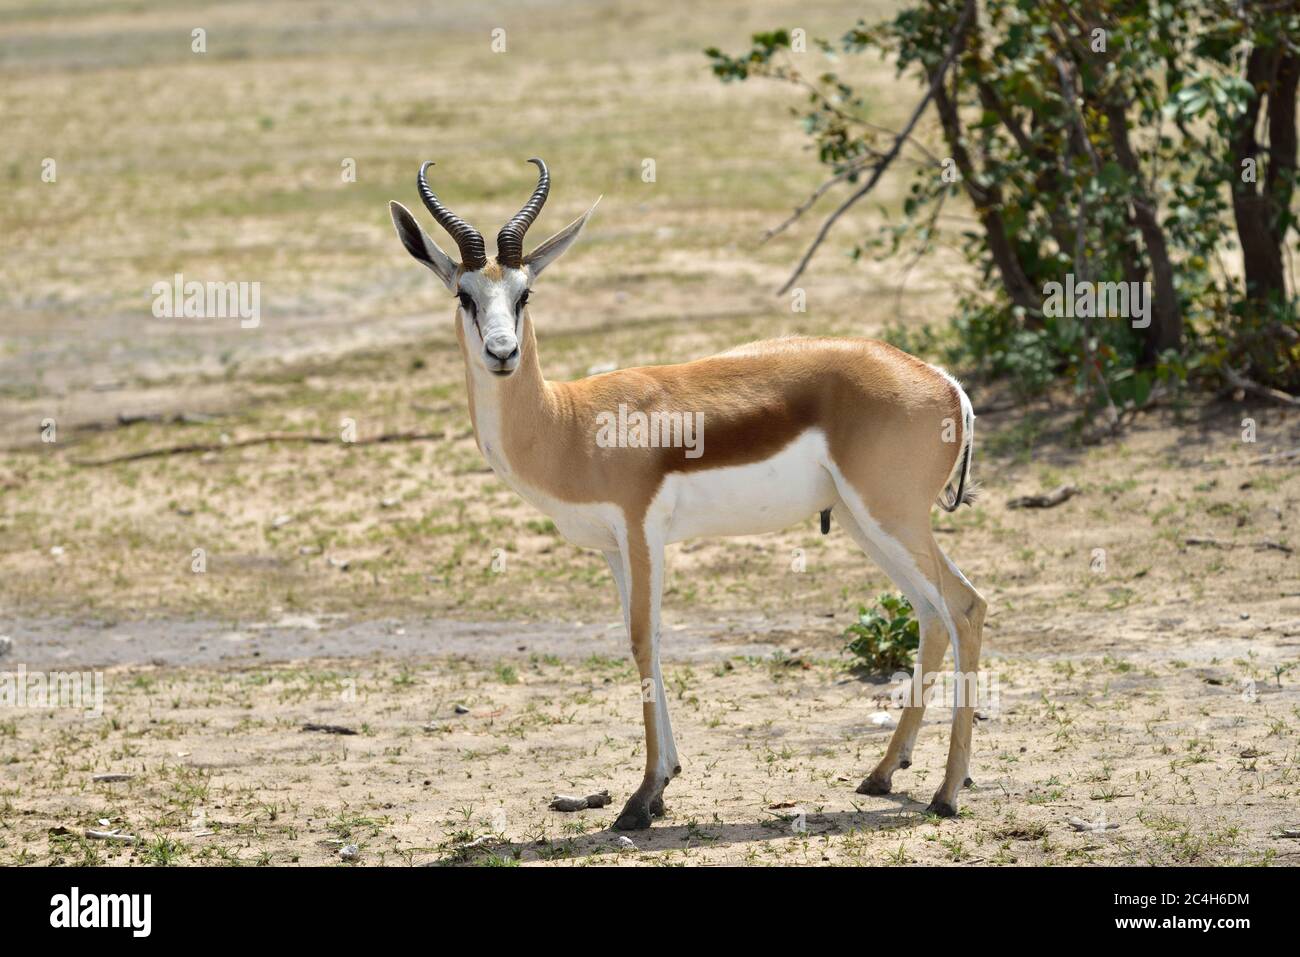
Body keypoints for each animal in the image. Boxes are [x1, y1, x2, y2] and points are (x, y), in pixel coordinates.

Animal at [388, 159, 986, 829]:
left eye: (525, 294)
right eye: (465, 294)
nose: (502, 353)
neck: (569, 421)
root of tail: (943, 380)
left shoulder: (642, 530)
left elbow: (642, 639)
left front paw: (642, 795)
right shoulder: (613, 547)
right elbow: (641, 640)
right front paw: (662, 784)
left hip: (892, 517)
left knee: (965, 607)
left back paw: (946, 794)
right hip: (867, 522)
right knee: (932, 615)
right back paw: (882, 774)